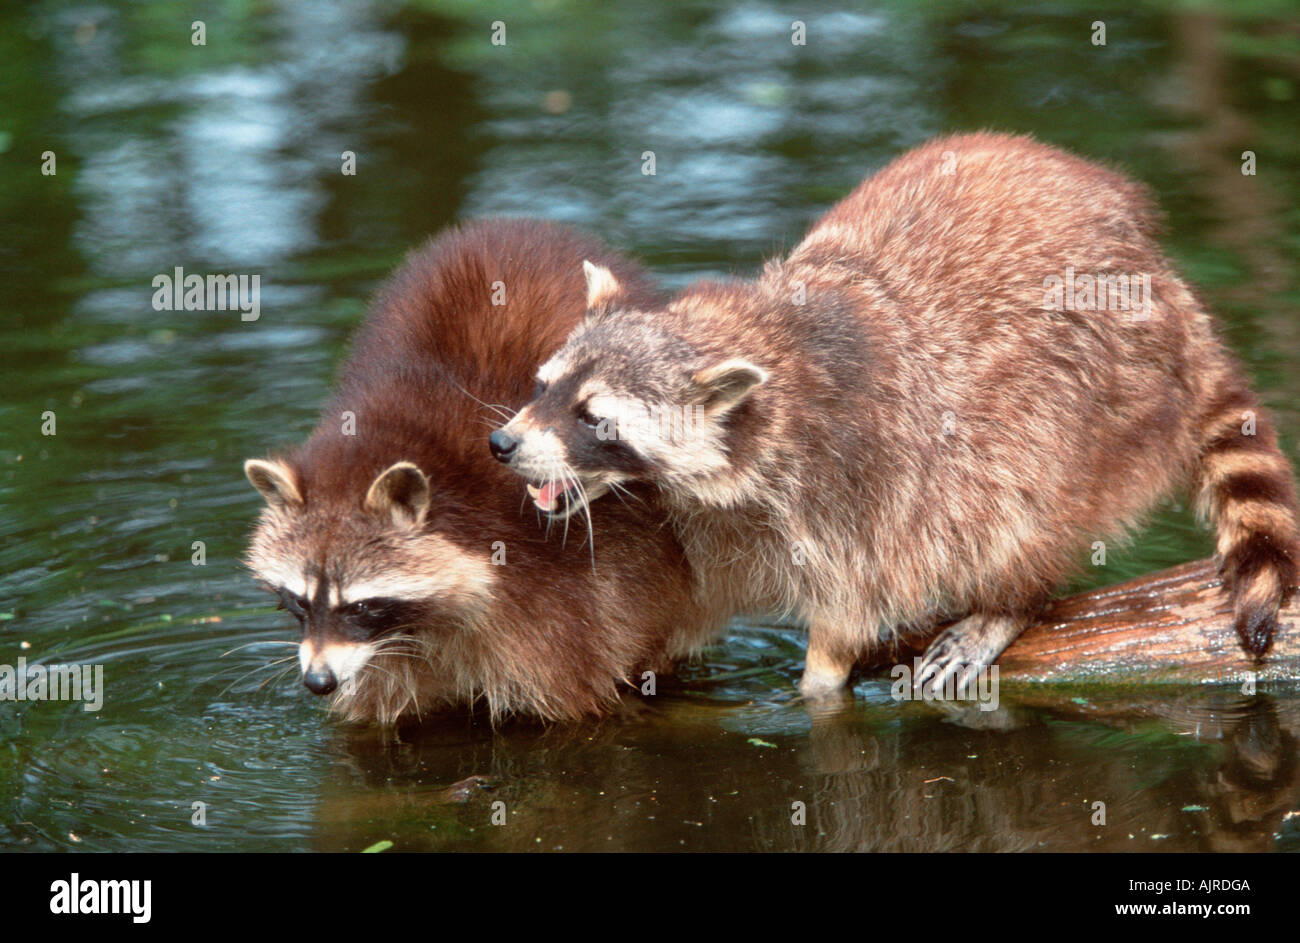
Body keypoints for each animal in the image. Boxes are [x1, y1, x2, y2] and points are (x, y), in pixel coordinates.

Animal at [492, 133, 1300, 698]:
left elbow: (848, 613)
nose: (503, 442)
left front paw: (818, 684)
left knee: (1025, 496)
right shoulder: (707, 520)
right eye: (544, 385)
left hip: (1104, 388)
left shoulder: (857, 485)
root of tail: (1163, 279)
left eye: (594, 418)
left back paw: (1010, 599)